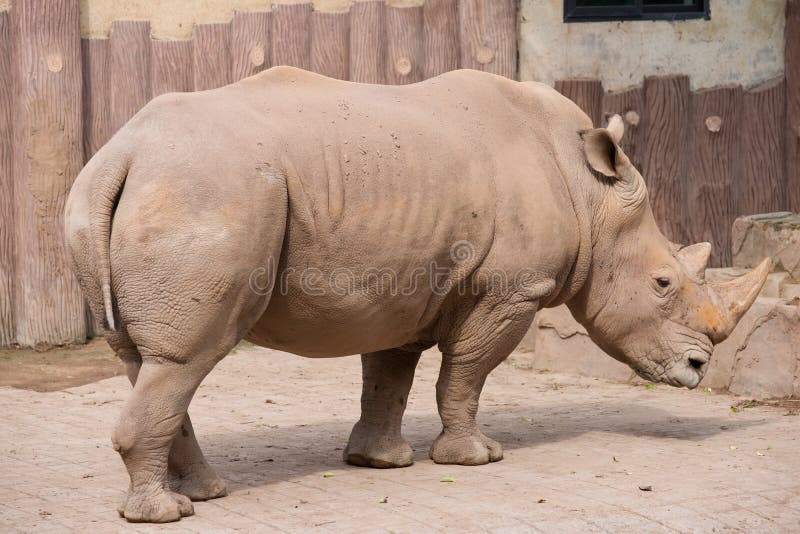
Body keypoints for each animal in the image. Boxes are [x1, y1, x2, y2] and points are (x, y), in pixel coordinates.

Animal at [65, 66, 769, 523]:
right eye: (663, 284)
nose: (699, 368)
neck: (587, 192)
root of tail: (123, 154)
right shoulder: (513, 291)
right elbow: (467, 372)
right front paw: (476, 458)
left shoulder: (398, 288)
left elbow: (389, 376)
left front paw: (380, 463)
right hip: (211, 192)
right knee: (188, 358)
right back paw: (167, 514)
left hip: (130, 196)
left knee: (149, 364)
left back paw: (206, 495)